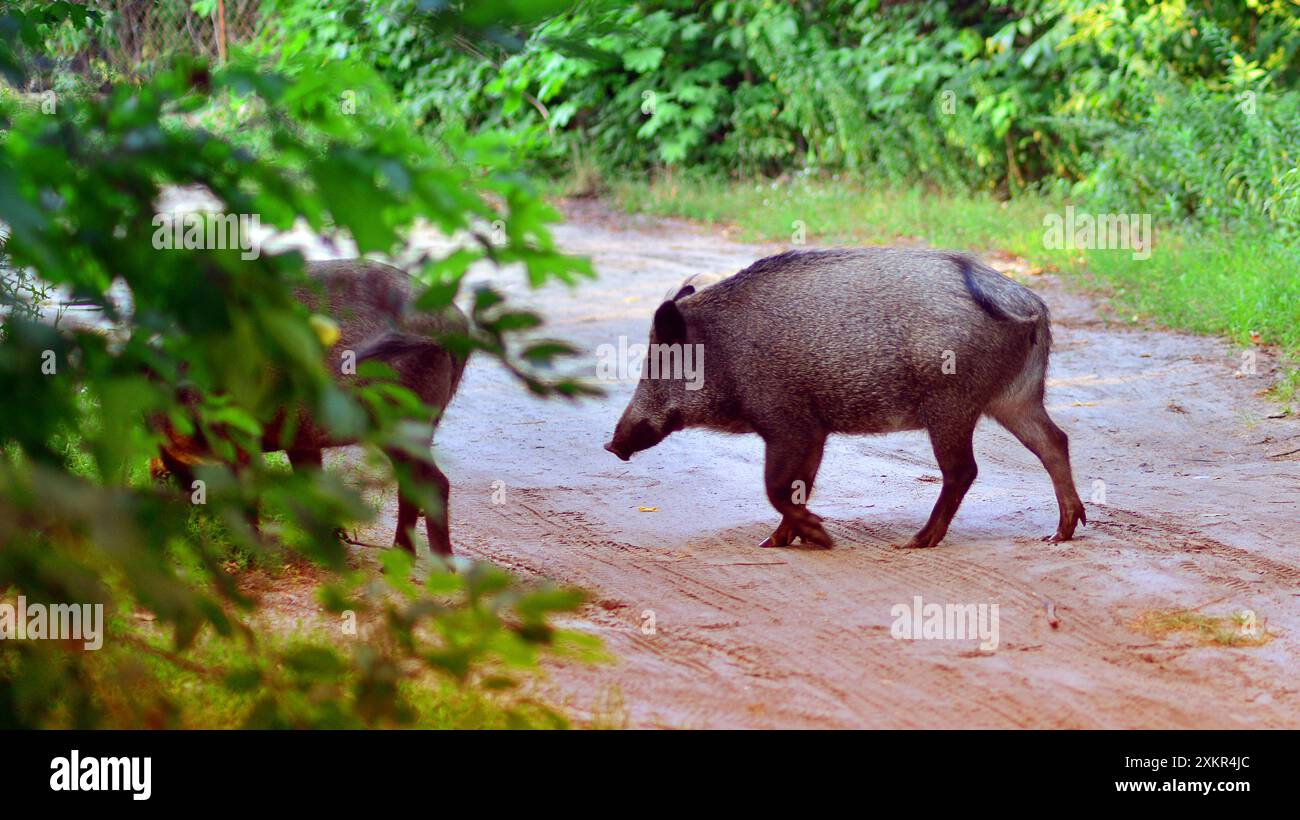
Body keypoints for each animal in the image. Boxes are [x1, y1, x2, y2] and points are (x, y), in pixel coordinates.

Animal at [604, 248, 1085, 550]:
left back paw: (915, 542)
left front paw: (820, 538)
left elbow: (776, 487)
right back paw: (1059, 534)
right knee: (1054, 442)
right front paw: (774, 542)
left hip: (951, 404)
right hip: (1015, 398)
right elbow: (797, 487)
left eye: (658, 362)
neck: (724, 349)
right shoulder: (815, 430)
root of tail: (1027, 303)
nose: (611, 444)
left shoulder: (788, 422)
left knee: (964, 470)